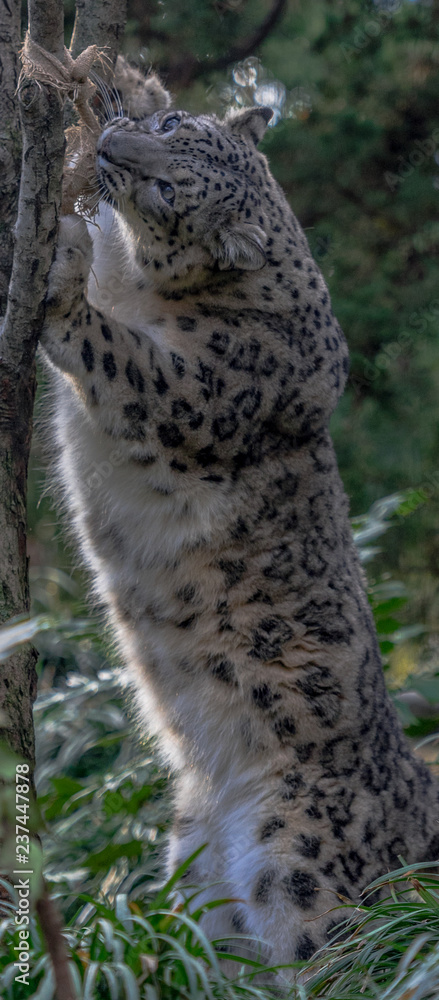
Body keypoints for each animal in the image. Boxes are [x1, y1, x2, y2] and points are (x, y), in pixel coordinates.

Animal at [40, 80, 439, 979]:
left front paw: (61, 265)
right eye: (167, 123)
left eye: (168, 194)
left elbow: (116, 352)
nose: (111, 147)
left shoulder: (197, 390)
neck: (137, 283)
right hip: (200, 913)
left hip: (311, 884)